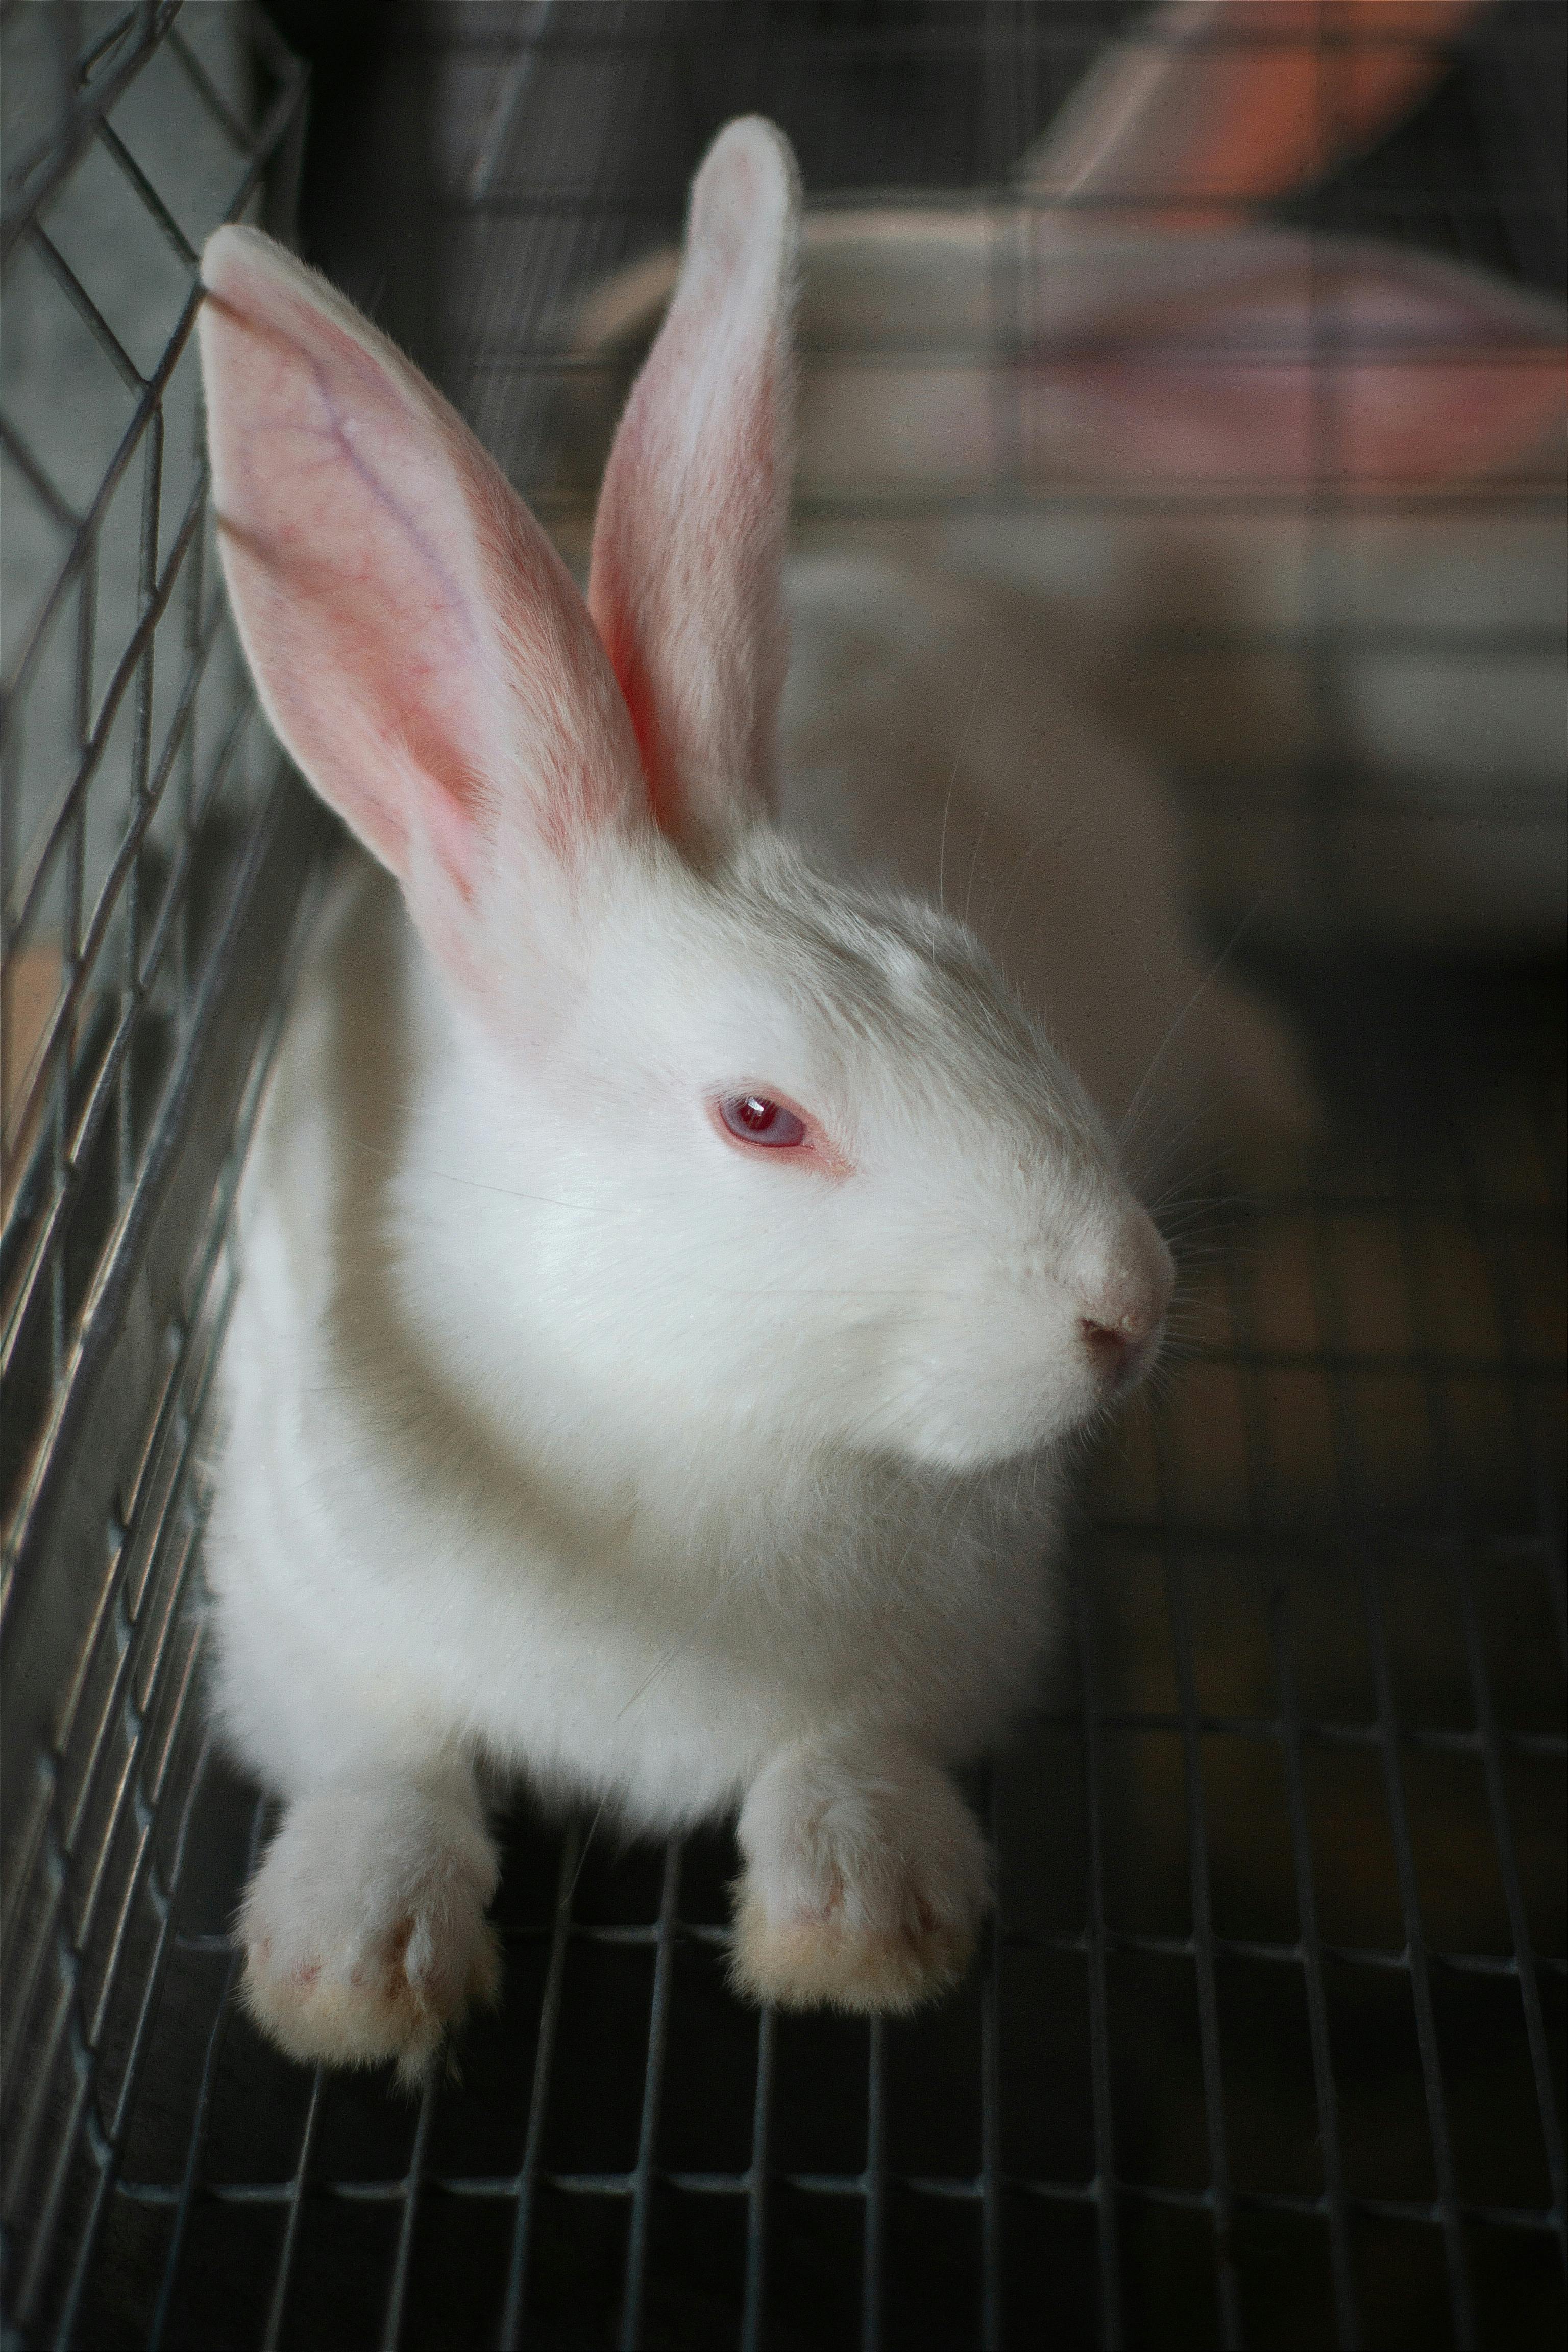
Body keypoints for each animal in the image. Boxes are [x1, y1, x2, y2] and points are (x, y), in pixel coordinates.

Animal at [197, 118, 1193, 2079]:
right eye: (760, 1118)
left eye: (975, 969)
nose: (1127, 1309)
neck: (683, 1414)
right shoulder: (301, 1608)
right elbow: (384, 1764)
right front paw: (349, 1969)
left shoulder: (925, 1675)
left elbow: (844, 1756)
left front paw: (861, 1928)